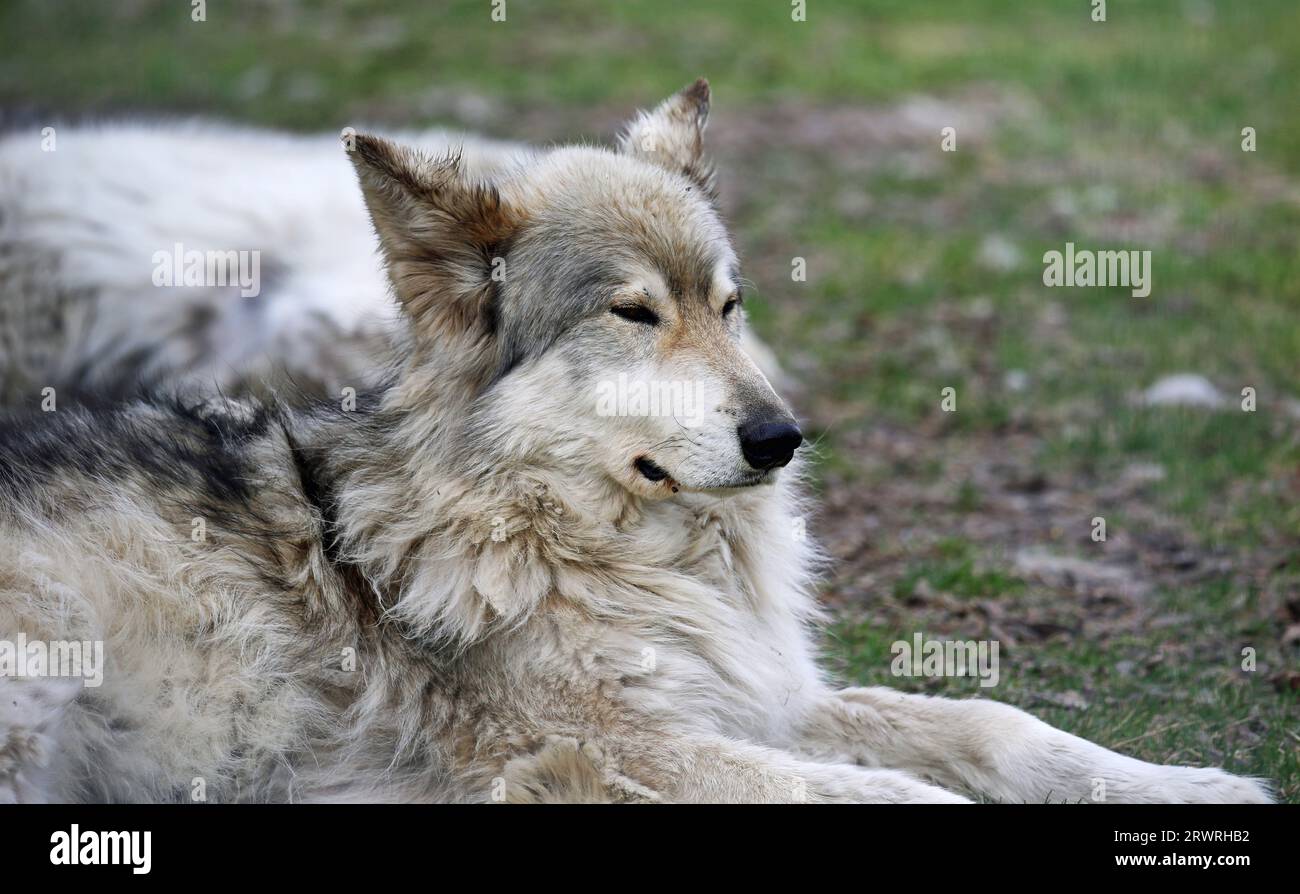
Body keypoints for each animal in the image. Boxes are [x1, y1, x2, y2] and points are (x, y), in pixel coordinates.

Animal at [0, 81, 1271, 802]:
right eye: (632, 313)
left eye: (730, 303)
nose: (781, 436)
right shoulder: (628, 744)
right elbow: (870, 792)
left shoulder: (749, 695)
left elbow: (994, 724)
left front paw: (1185, 783)